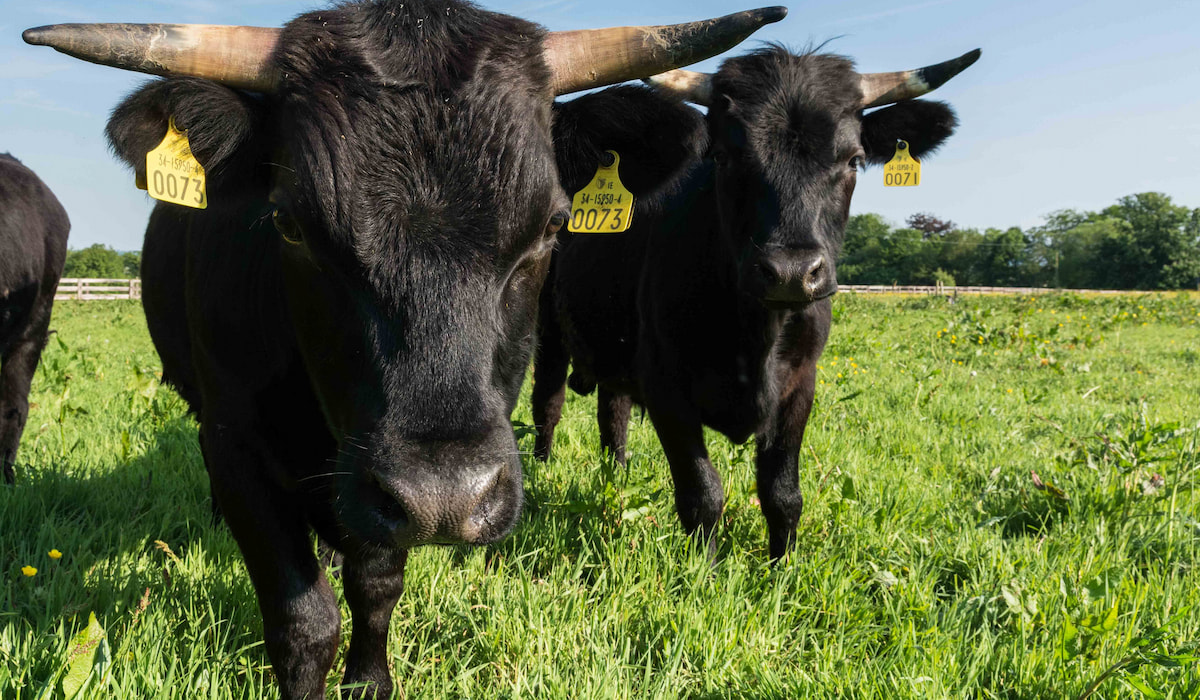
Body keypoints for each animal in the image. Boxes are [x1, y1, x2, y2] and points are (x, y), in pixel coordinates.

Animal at [24, 1, 782, 696]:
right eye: (288, 222)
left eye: (550, 226)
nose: (444, 498)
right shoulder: (237, 444)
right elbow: (303, 619)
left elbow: (376, 585)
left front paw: (369, 679)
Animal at [531, 46, 979, 560]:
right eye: (725, 156)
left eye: (853, 159)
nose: (791, 271)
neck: (755, 337)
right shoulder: (665, 386)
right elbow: (702, 491)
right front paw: (702, 568)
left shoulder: (801, 384)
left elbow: (783, 493)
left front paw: (781, 564)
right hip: (546, 329)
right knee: (548, 402)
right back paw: (542, 466)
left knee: (613, 412)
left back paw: (617, 476)